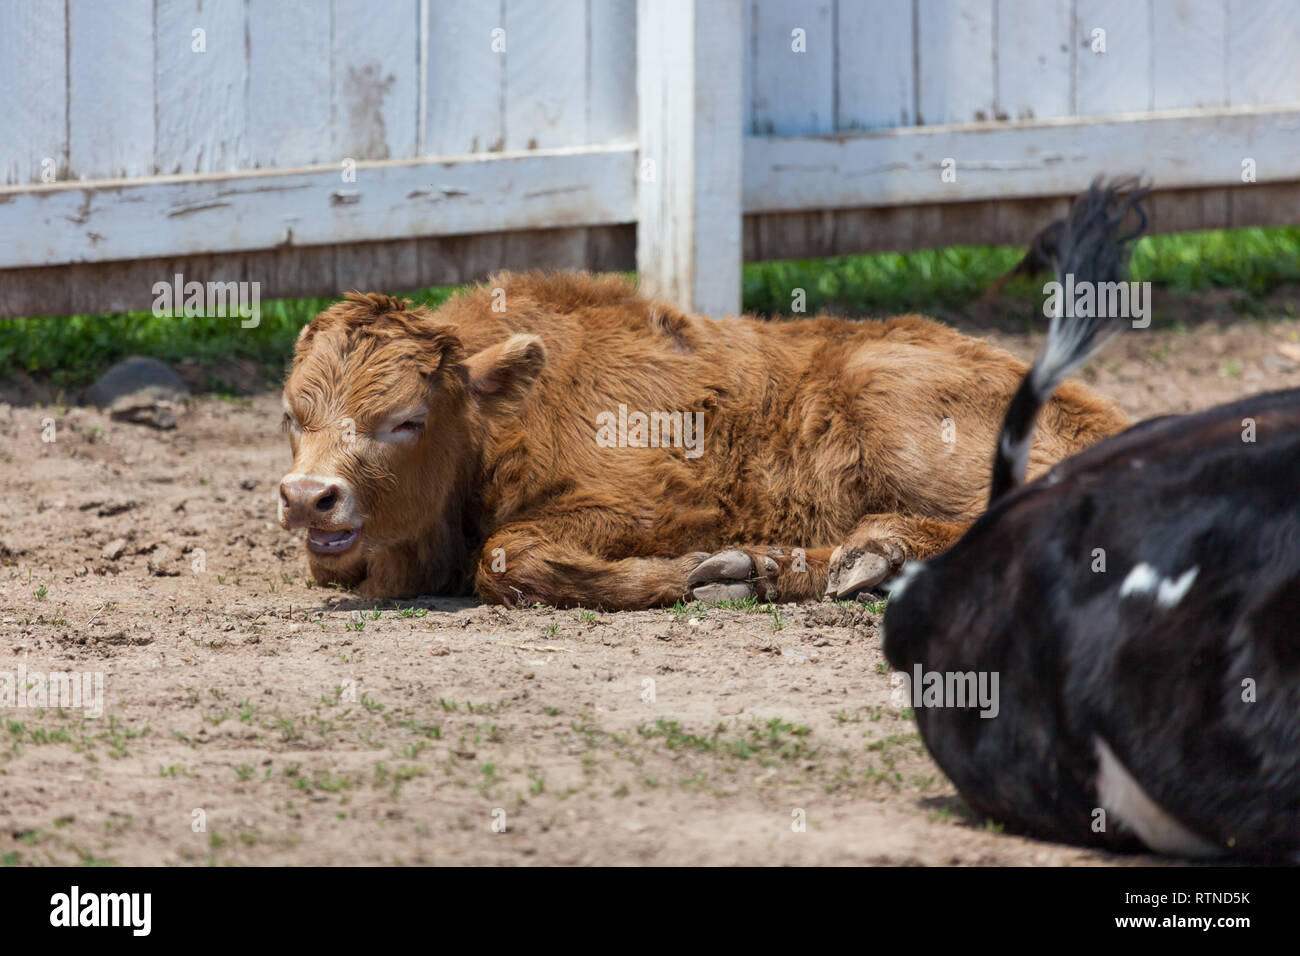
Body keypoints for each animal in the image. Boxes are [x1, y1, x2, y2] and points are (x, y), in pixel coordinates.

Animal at [277, 211, 1128, 609]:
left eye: (408, 420)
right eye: (292, 416)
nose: (308, 498)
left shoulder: (648, 502)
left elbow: (508, 557)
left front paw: (678, 576)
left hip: (890, 404)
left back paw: (866, 551)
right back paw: (778, 566)